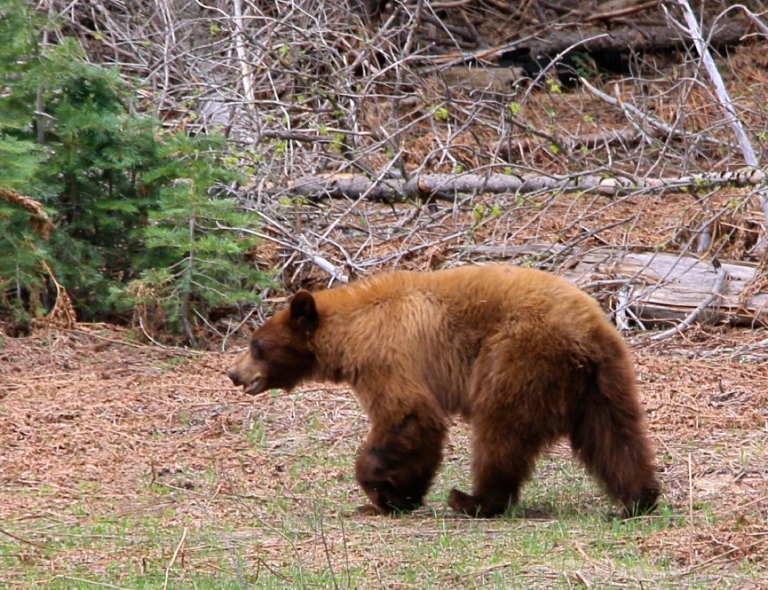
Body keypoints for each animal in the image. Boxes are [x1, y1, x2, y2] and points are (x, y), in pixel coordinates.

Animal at [227, 265, 660, 518]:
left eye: (255, 344)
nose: (233, 373)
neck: (349, 331)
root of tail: (587, 334)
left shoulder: (387, 354)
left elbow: (408, 414)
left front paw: (380, 491)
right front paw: (403, 495)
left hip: (518, 358)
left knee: (501, 432)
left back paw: (474, 500)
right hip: (604, 381)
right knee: (616, 437)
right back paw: (639, 498)